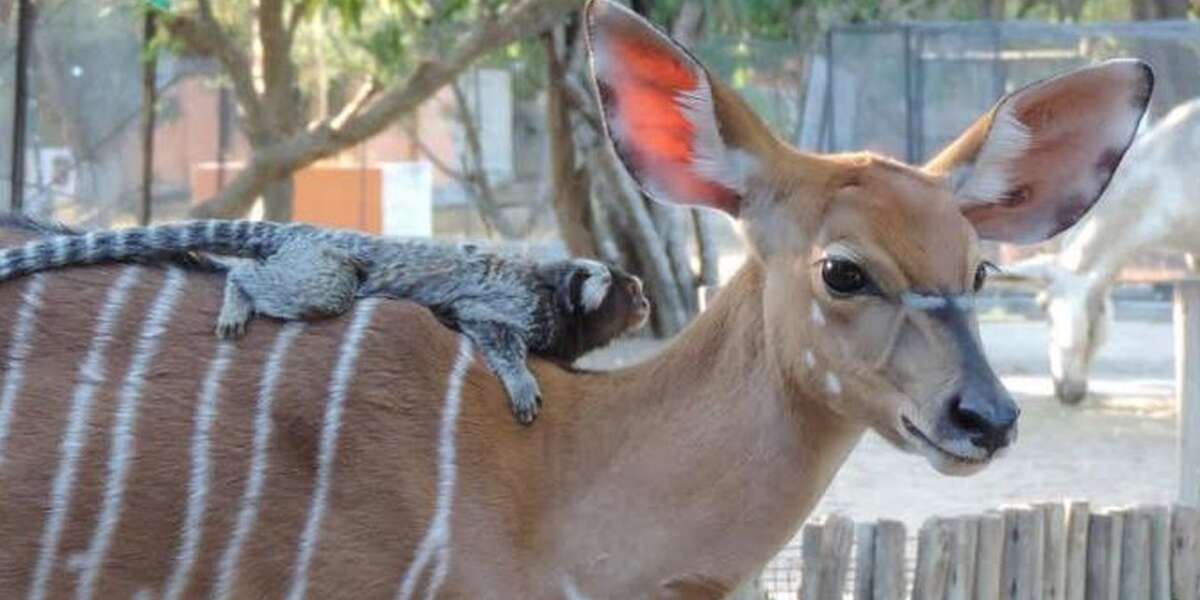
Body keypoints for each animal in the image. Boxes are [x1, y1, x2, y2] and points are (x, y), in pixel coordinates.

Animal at [0, 218, 651, 424]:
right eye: (629, 290)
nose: (646, 299)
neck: (552, 291)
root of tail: (301, 230)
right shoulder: (510, 306)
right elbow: (486, 326)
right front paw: (520, 382)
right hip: (324, 267)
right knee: (302, 285)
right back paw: (240, 292)